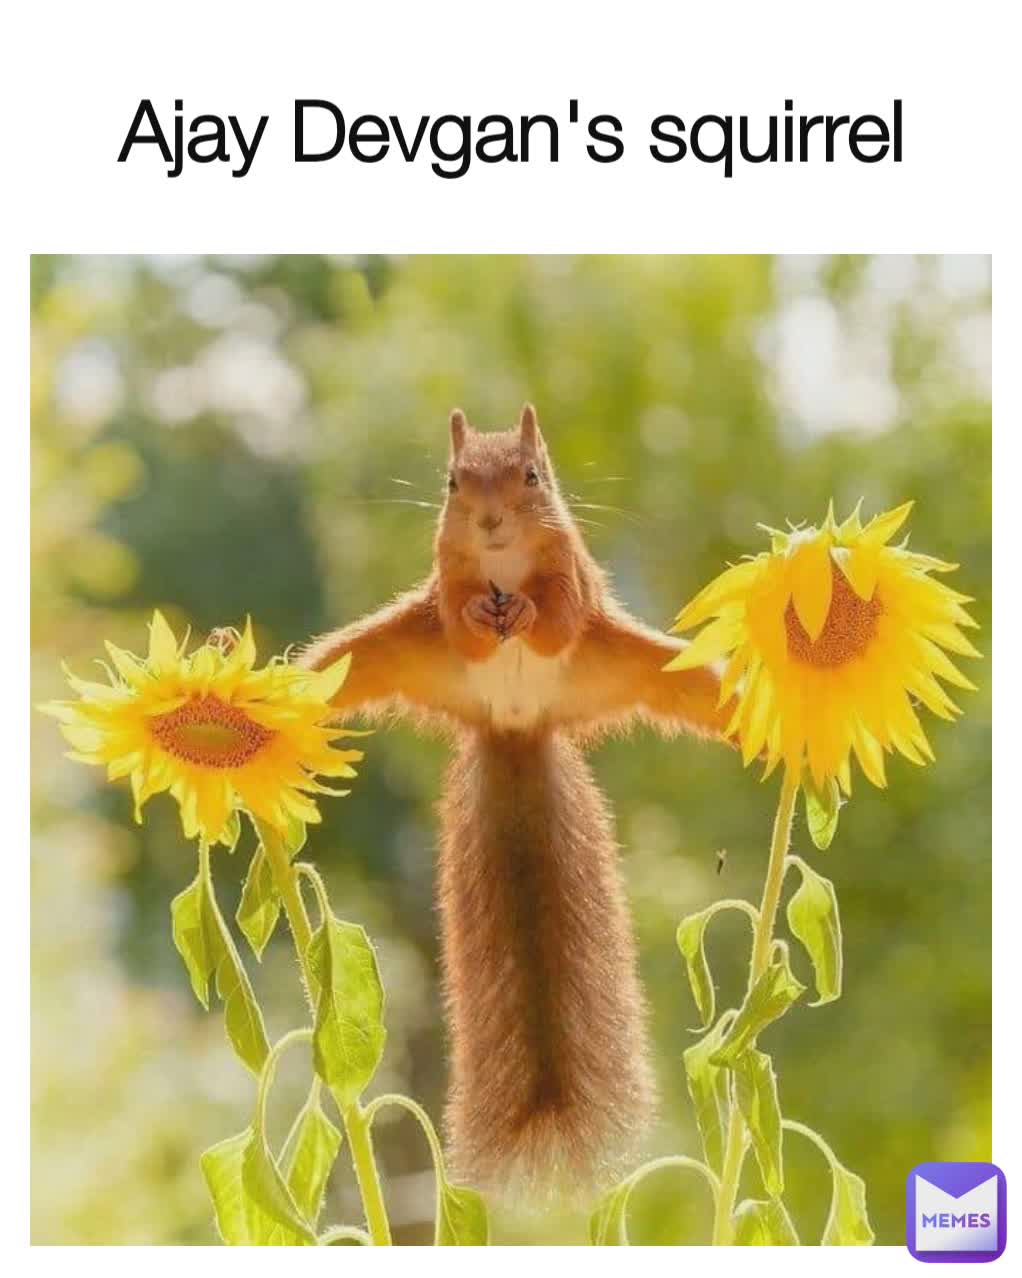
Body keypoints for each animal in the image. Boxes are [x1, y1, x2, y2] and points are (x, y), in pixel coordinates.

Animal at [300, 404, 733, 1201]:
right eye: (452, 482)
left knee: (701, 693)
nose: (491, 520)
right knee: (328, 670)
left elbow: (556, 615)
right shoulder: (446, 576)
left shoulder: (573, 573)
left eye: (533, 475)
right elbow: (462, 618)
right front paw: (482, 613)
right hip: (378, 652)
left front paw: (526, 610)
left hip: (633, 662)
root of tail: (516, 725)